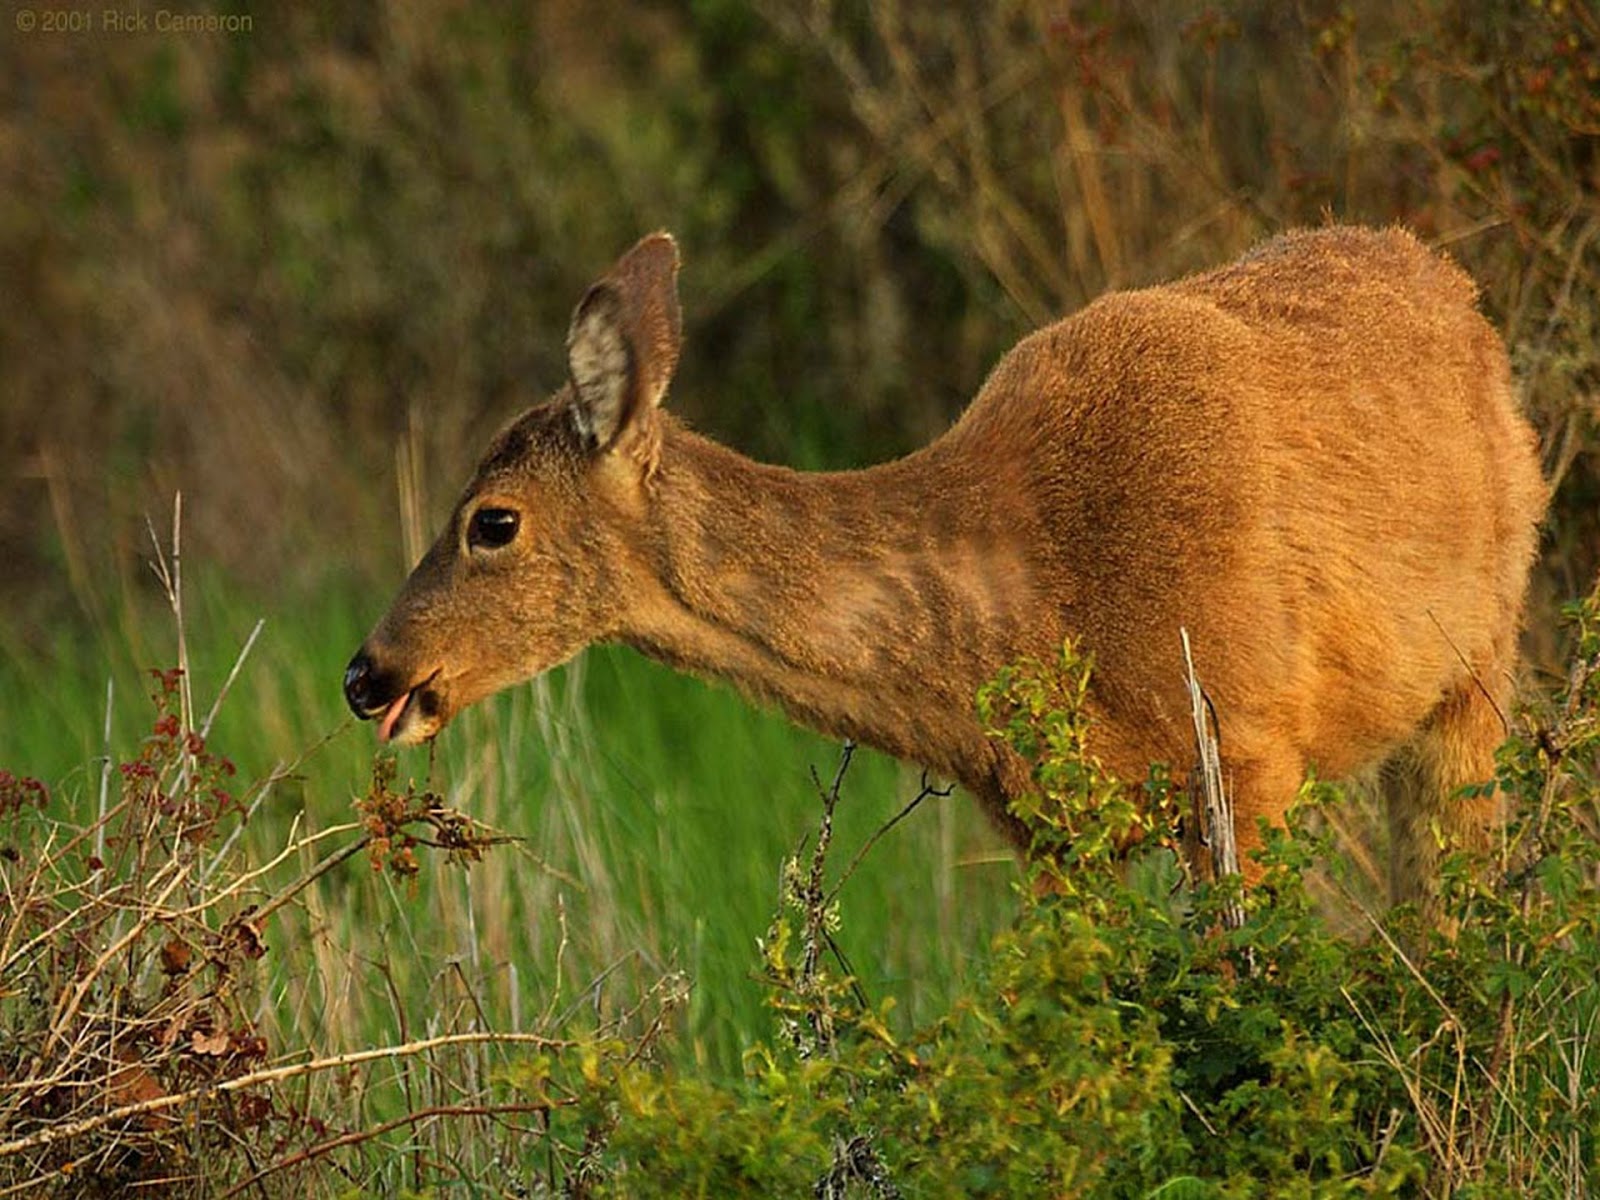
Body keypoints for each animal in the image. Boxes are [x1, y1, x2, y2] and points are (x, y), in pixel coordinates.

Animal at [343, 226, 1546, 906]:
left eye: (492, 522)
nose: (367, 672)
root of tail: (1455, 289)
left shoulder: (1249, 756)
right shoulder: (1051, 829)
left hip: (1476, 673)